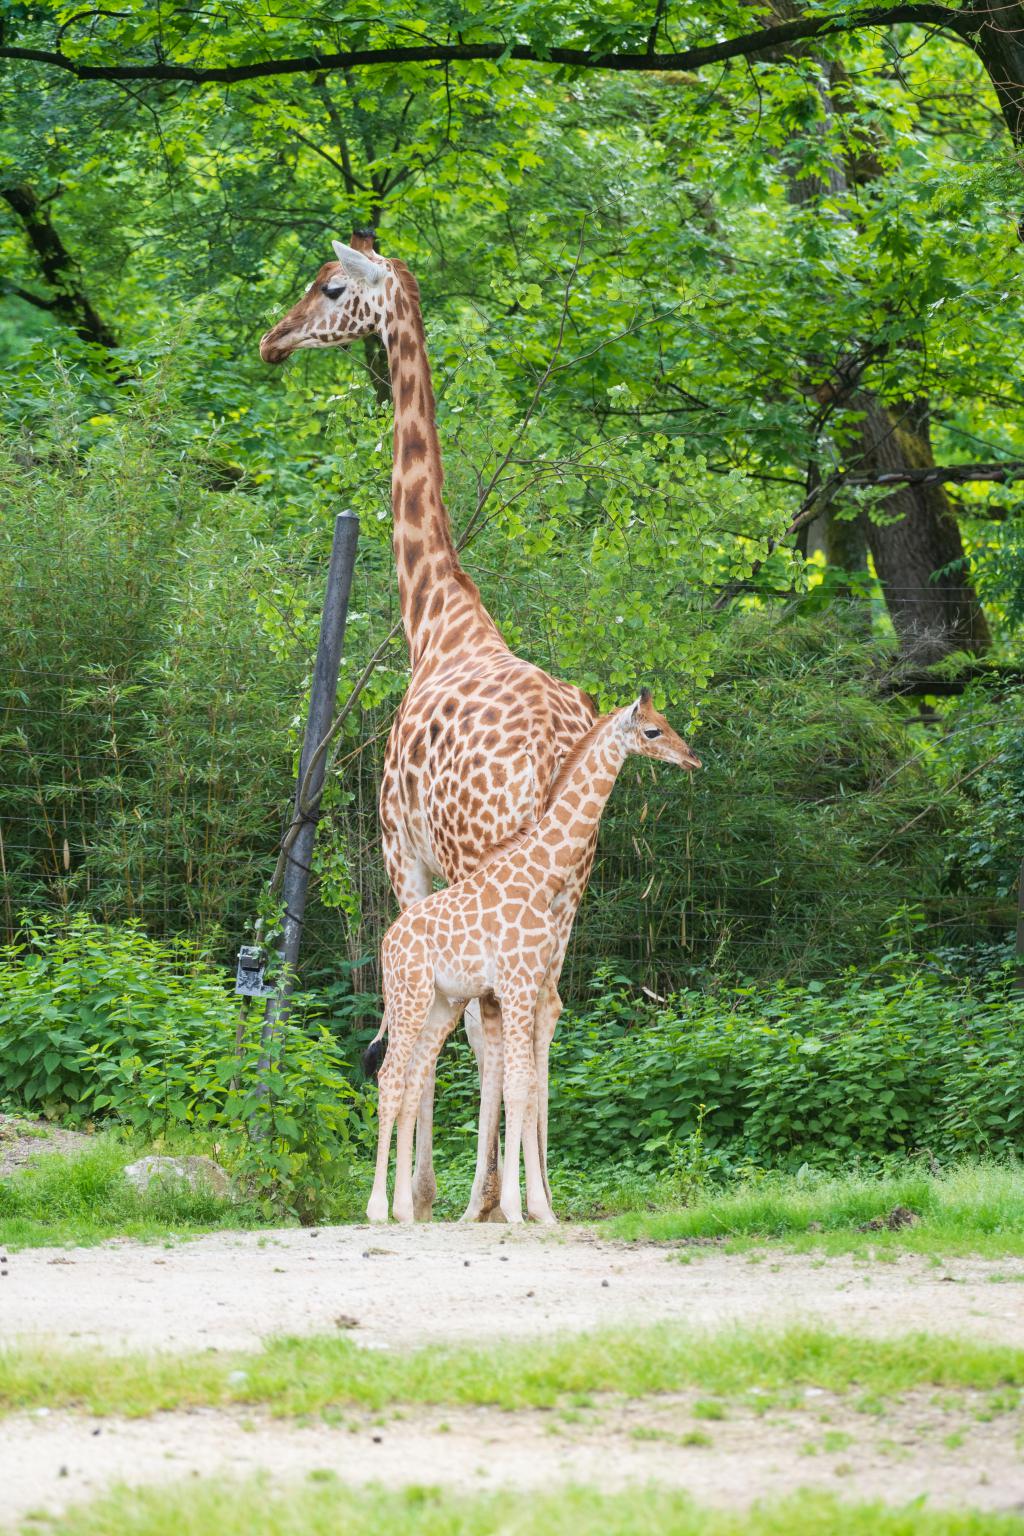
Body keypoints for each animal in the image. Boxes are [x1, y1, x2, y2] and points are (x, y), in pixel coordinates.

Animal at [260, 236, 597, 1221]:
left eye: (331, 287)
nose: (273, 340)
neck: (435, 620)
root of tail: (551, 750)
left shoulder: (402, 858)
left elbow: (429, 1027)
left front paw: (424, 1190)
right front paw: (480, 1190)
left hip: (484, 860)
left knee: (498, 1016)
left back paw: (492, 1195)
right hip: (568, 892)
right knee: (544, 1008)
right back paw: (535, 1195)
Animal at [365, 691, 701, 1224]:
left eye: (667, 722)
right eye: (652, 731)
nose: (692, 758)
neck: (540, 872)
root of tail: (388, 942)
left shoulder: (531, 984)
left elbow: (528, 1085)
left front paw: (535, 1208)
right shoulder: (517, 984)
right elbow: (519, 1085)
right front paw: (519, 1209)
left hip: (440, 1001)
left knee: (412, 1079)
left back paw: (404, 1210)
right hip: (409, 993)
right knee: (390, 1078)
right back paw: (379, 1209)